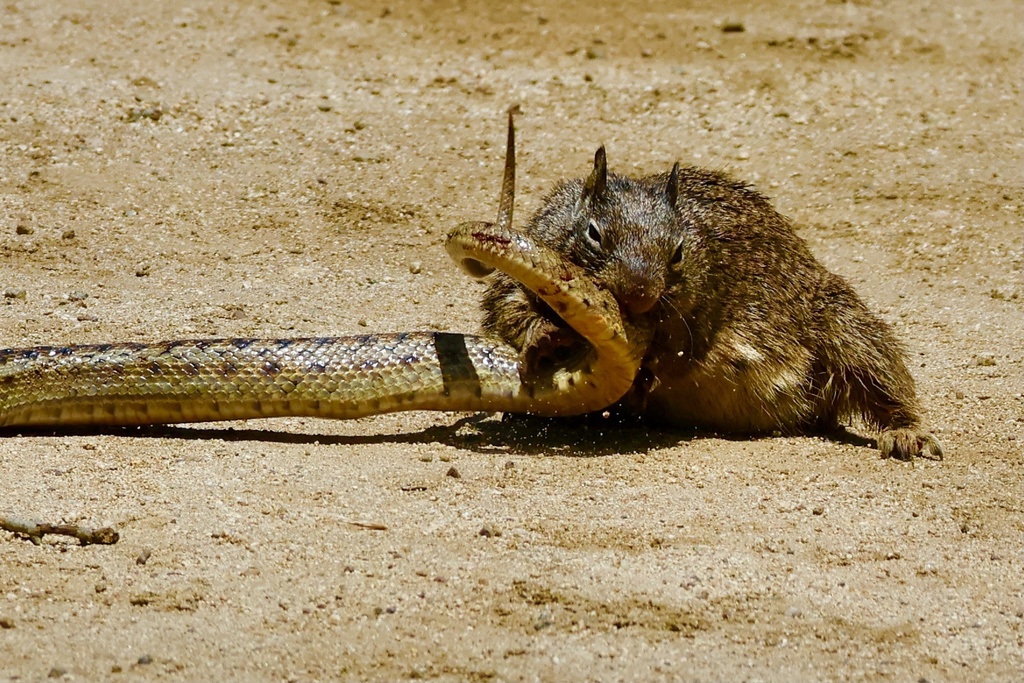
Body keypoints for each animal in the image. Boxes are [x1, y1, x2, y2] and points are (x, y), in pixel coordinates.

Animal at [481, 142, 942, 460]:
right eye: (593, 233)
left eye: (679, 251)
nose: (638, 294)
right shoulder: (523, 259)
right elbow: (509, 310)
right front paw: (542, 336)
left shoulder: (706, 304)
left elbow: (682, 353)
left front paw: (645, 376)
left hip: (845, 326)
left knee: (883, 382)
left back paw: (907, 434)